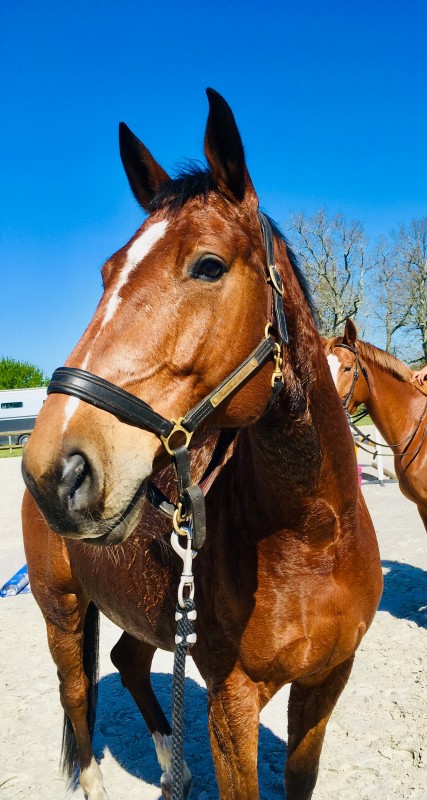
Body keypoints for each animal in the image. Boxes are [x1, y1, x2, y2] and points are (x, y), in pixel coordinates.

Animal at [21, 89, 382, 800]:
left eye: (208, 266)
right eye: (107, 273)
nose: (54, 469)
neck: (314, 536)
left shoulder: (325, 685)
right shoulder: (231, 703)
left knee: (127, 661)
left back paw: (173, 768)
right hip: (62, 616)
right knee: (77, 703)